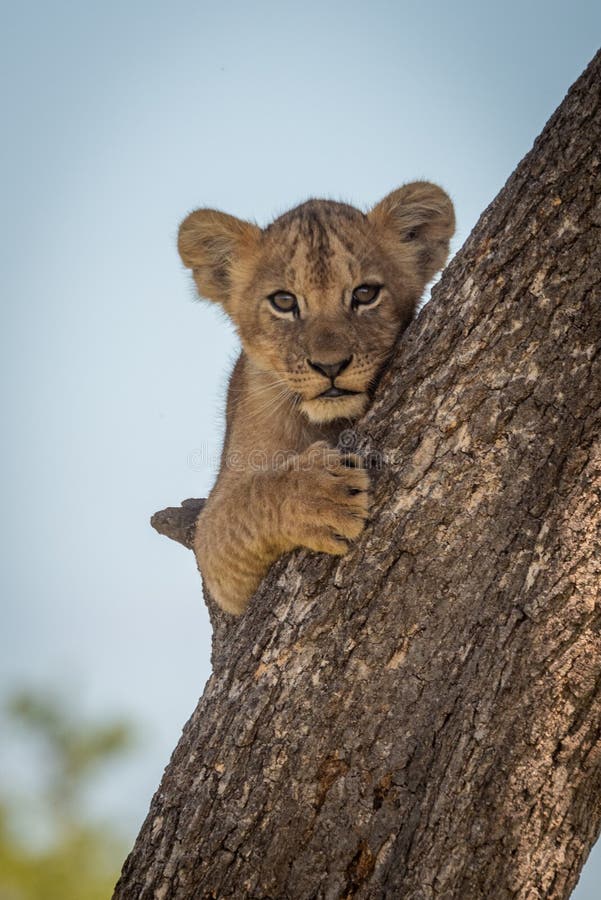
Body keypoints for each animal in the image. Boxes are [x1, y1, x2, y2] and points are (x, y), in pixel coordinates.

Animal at [178, 182, 455, 614]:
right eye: (284, 301)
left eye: (365, 293)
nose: (330, 366)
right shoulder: (215, 541)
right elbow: (250, 501)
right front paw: (321, 496)